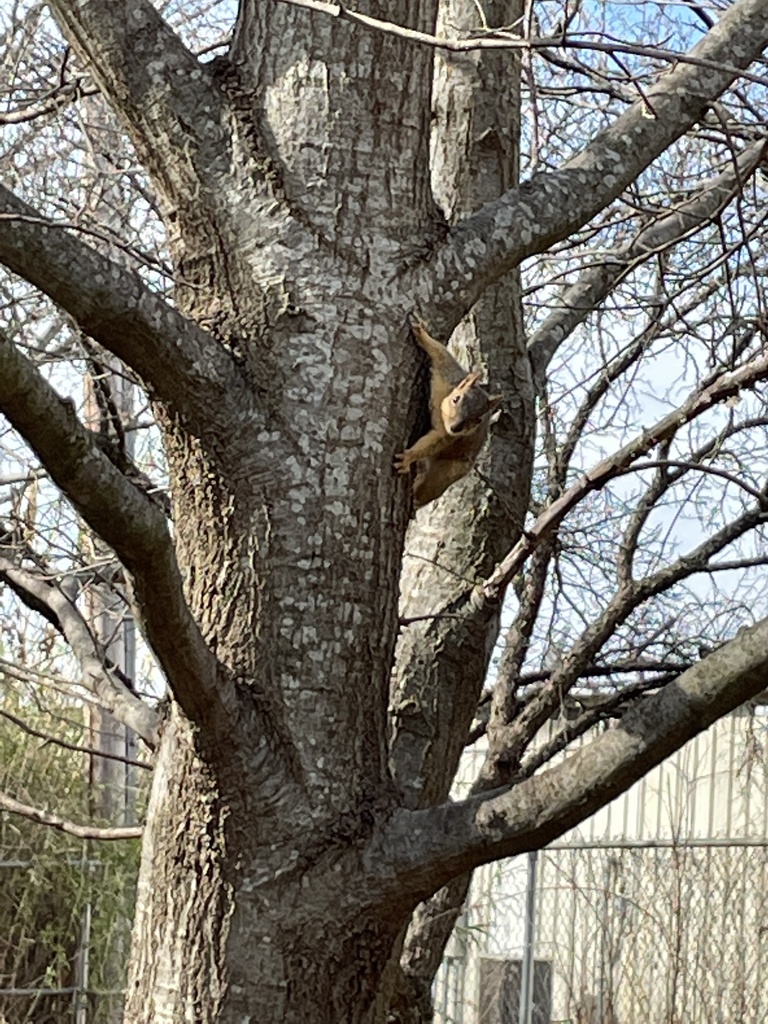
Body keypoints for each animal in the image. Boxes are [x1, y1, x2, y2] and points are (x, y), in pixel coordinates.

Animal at [394, 317, 502, 508]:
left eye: (478, 420)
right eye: (456, 399)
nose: (456, 427)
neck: (441, 411)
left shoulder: (448, 435)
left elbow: (433, 443)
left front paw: (408, 457)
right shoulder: (447, 372)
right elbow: (439, 353)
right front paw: (421, 332)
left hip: (447, 473)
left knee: (428, 488)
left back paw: (416, 495)